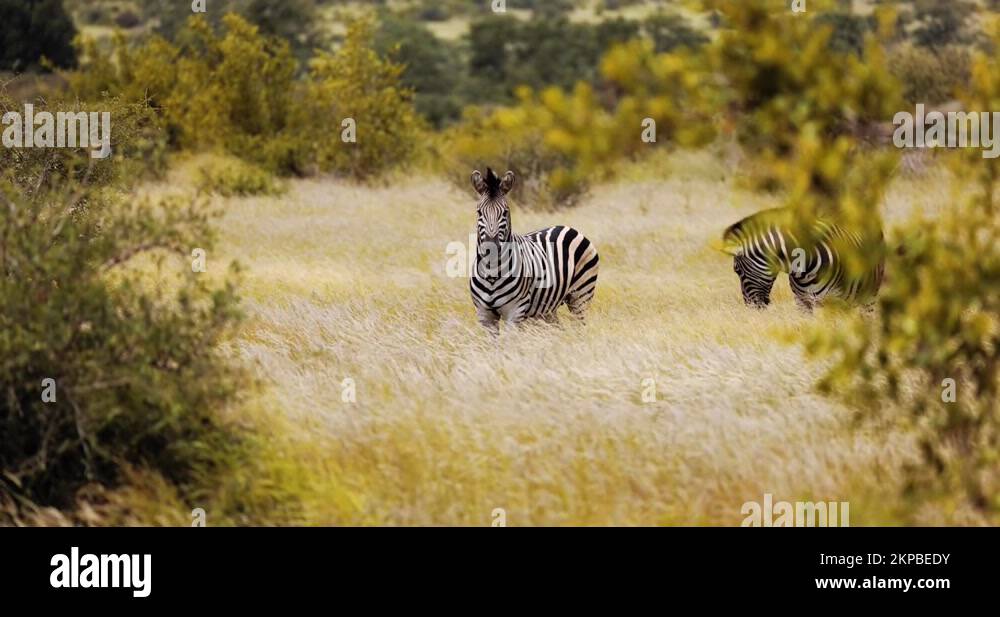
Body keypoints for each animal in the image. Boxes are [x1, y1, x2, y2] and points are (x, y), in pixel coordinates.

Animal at [469, 168, 599, 332]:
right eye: (479, 212)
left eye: (505, 212)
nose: (490, 248)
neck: (492, 274)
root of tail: (570, 228)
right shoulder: (484, 314)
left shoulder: (515, 311)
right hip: (548, 307)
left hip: (580, 296)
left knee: (580, 327)